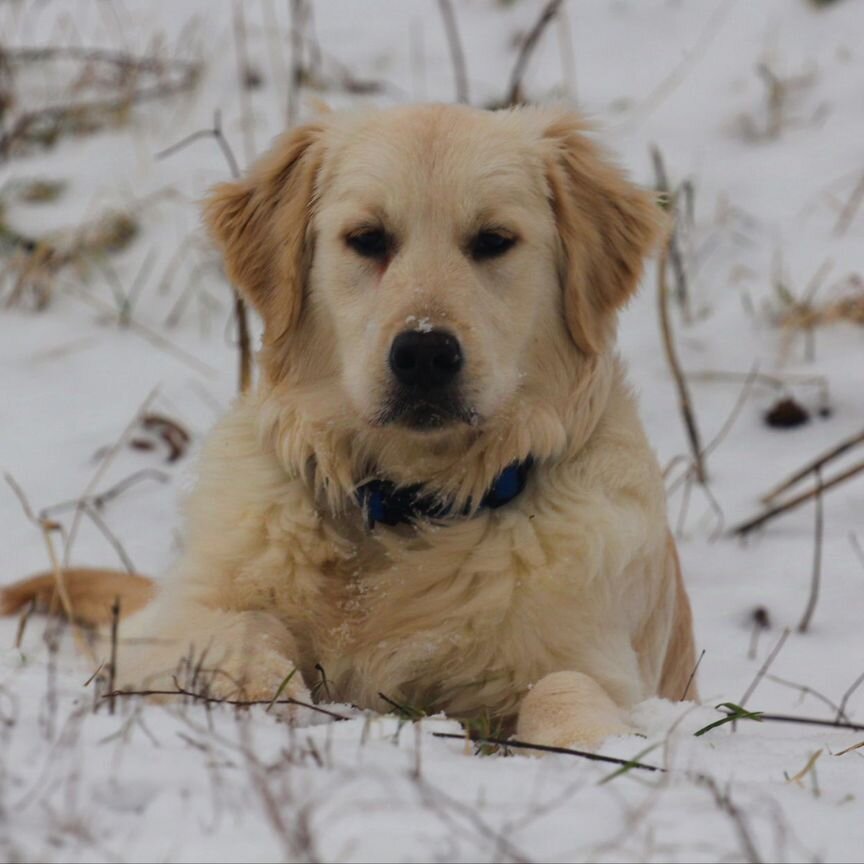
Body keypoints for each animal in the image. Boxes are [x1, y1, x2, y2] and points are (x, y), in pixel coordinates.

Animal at [0, 103, 696, 748]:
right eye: (368, 239)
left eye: (494, 240)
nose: (424, 354)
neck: (403, 504)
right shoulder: (171, 623)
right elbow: (239, 629)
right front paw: (262, 691)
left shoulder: (599, 659)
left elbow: (564, 686)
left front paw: (586, 742)